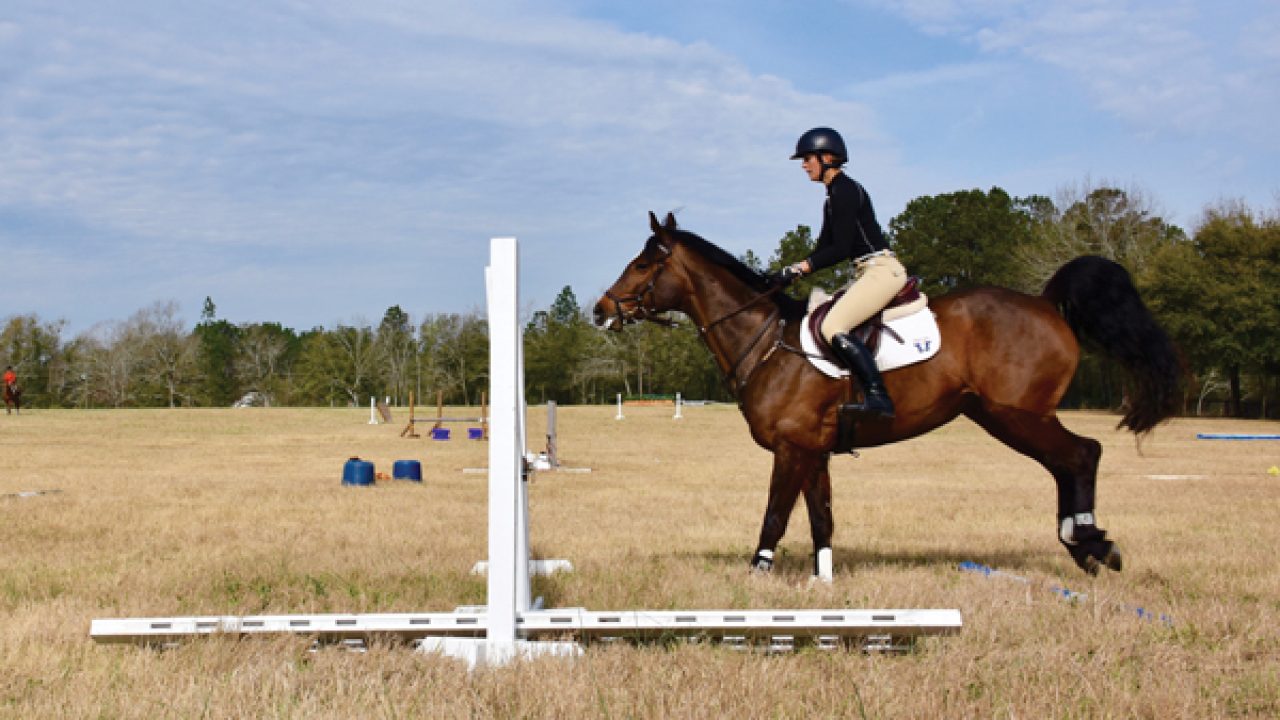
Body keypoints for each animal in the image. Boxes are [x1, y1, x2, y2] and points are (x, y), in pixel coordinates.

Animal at [593, 212, 1182, 580]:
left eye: (643, 265)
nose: (601, 310)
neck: (764, 339)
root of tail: (1044, 303)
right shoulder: (814, 451)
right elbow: (821, 519)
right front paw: (822, 581)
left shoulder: (791, 448)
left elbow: (776, 515)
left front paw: (756, 575)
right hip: (1006, 416)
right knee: (1069, 462)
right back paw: (1084, 544)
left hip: (1017, 415)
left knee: (1082, 454)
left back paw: (1092, 544)